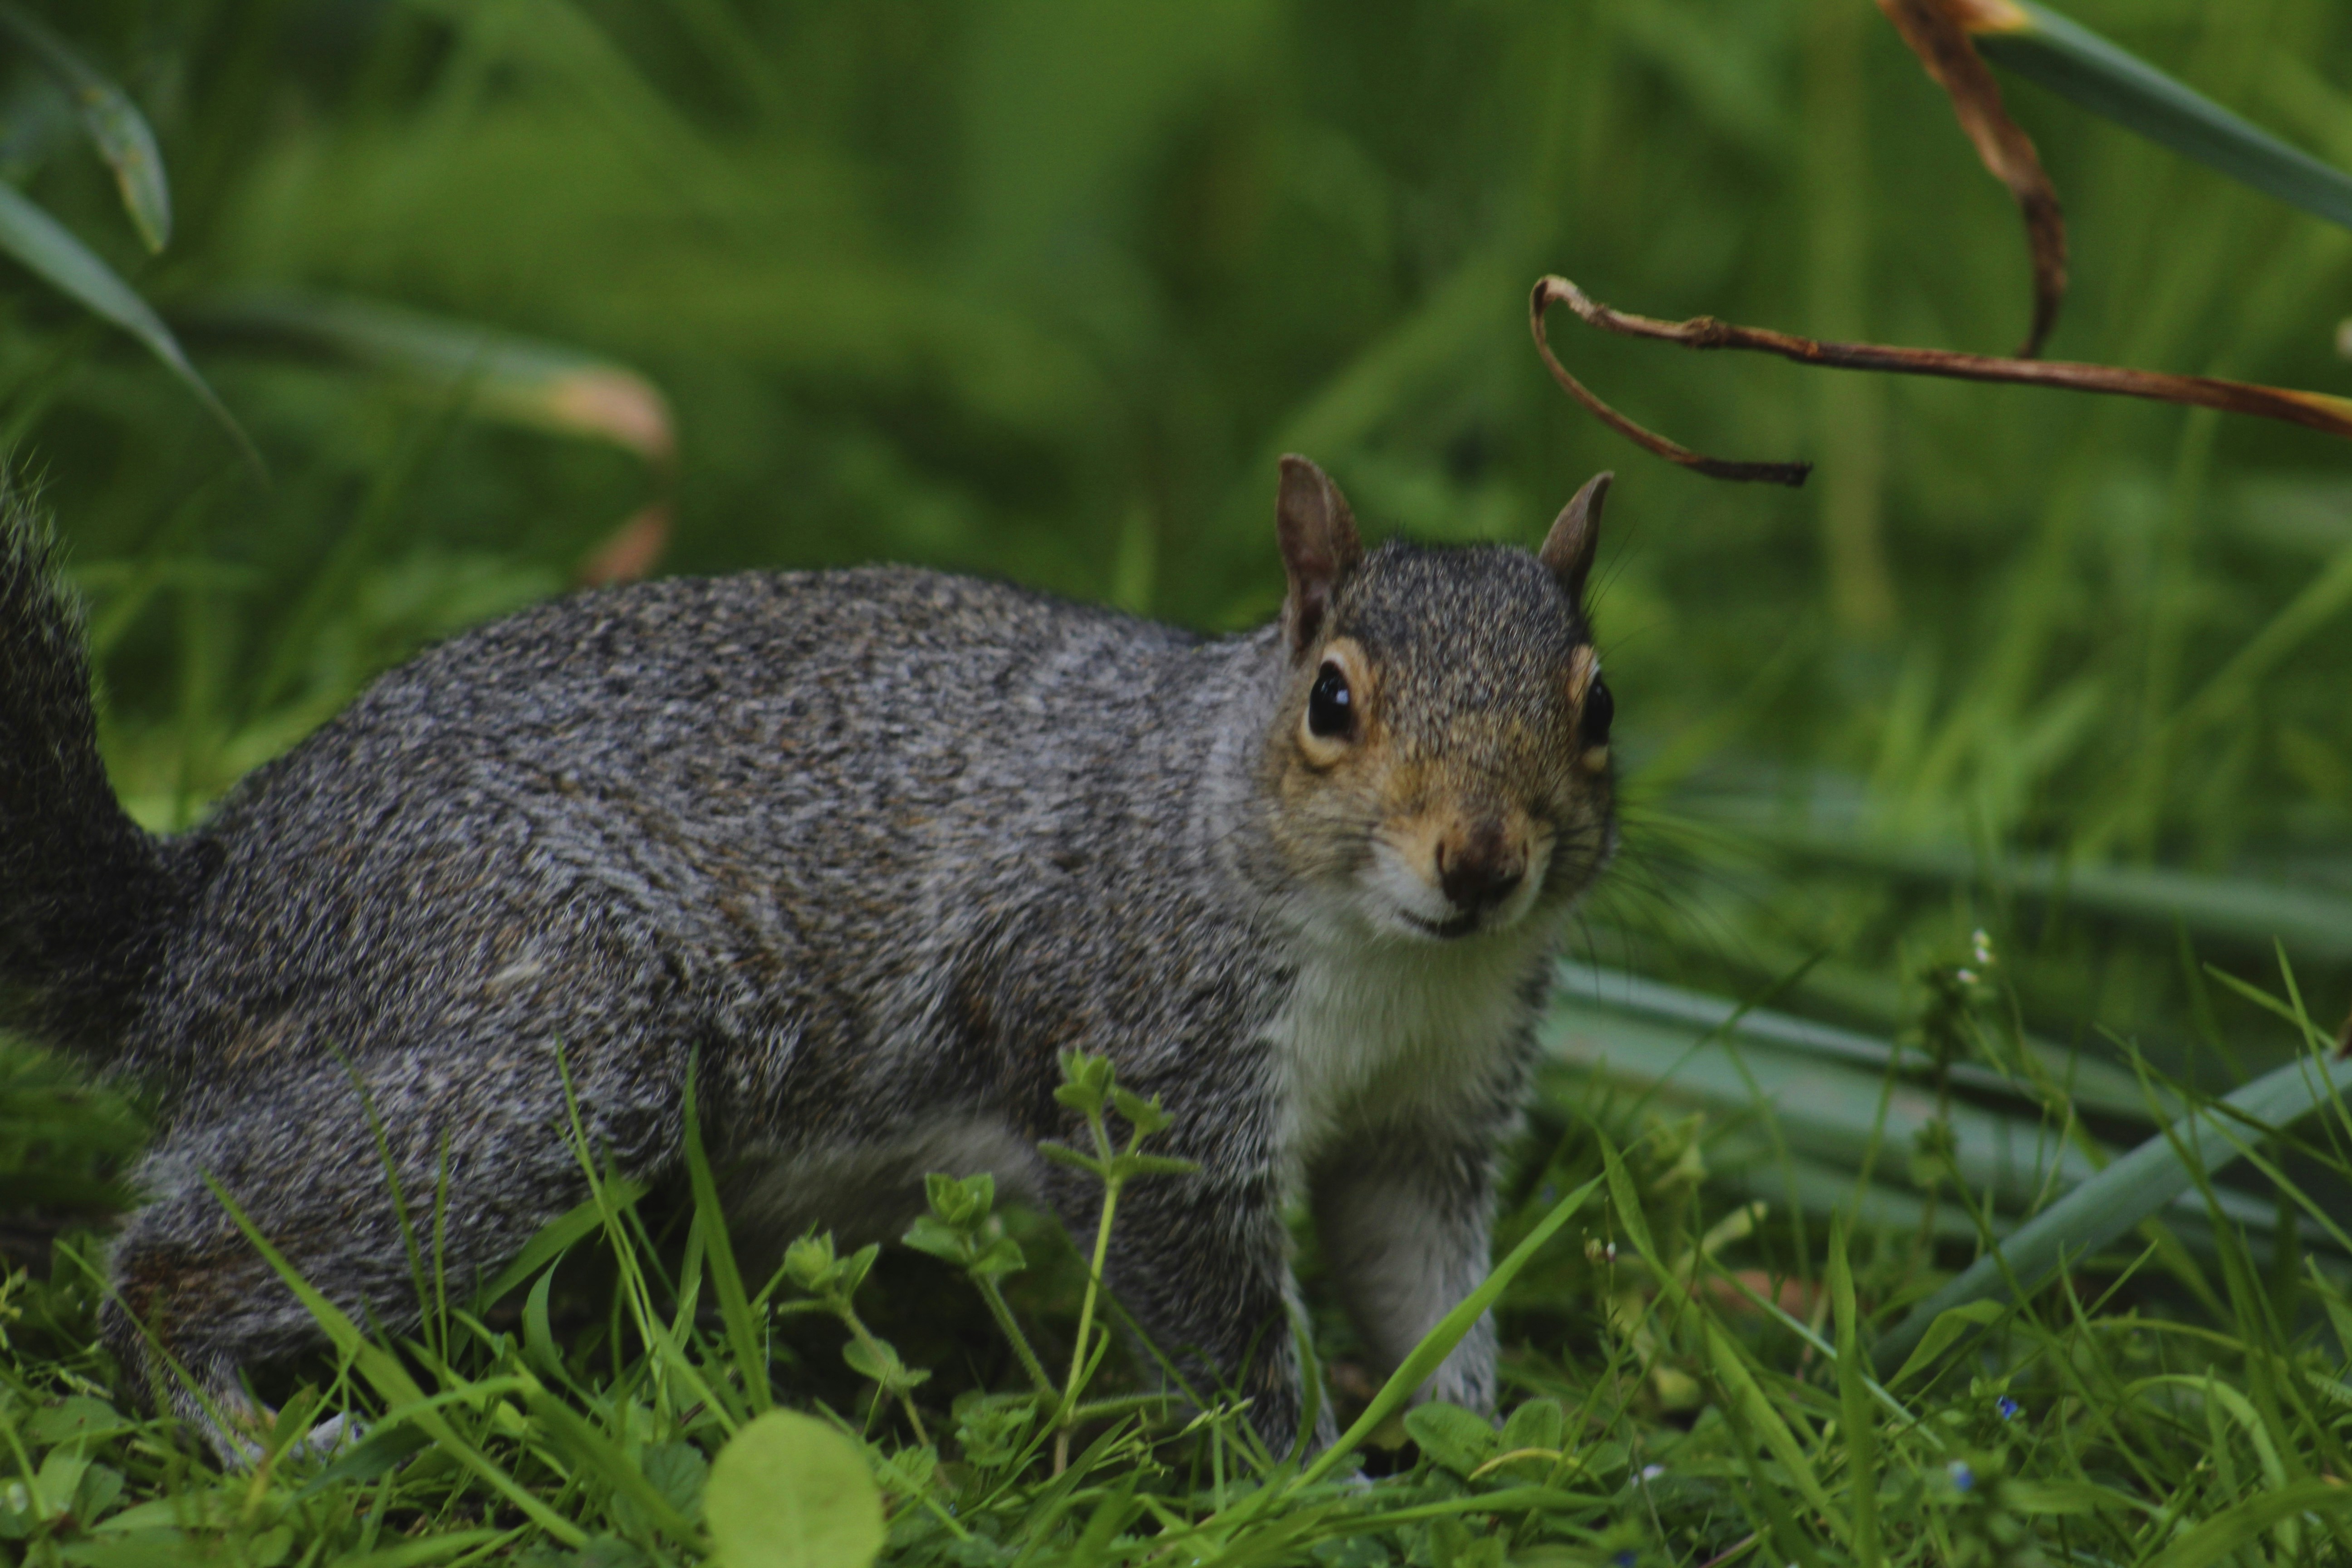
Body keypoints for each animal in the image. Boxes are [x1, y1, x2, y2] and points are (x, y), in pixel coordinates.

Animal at [0, 455, 1618, 1459]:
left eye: (1596, 702)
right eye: (1332, 701)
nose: (1482, 861)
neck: (1391, 965)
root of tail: (203, 919)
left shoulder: (1429, 1120)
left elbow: (1421, 1282)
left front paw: (1478, 1442)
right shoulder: (1140, 1058)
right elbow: (1211, 1313)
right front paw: (1309, 1479)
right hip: (531, 1018)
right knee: (173, 1258)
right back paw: (235, 1422)